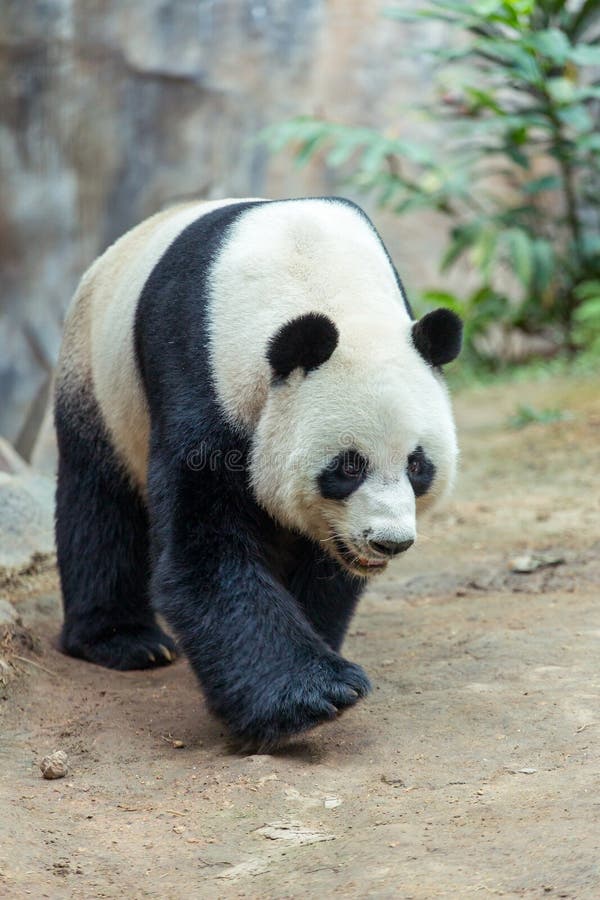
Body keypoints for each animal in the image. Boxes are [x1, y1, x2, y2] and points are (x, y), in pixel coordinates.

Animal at [55, 197, 462, 748]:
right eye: (347, 467)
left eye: (417, 466)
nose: (389, 542)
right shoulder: (201, 373)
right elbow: (204, 551)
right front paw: (313, 695)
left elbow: (324, 567)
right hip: (99, 382)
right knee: (98, 504)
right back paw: (126, 641)